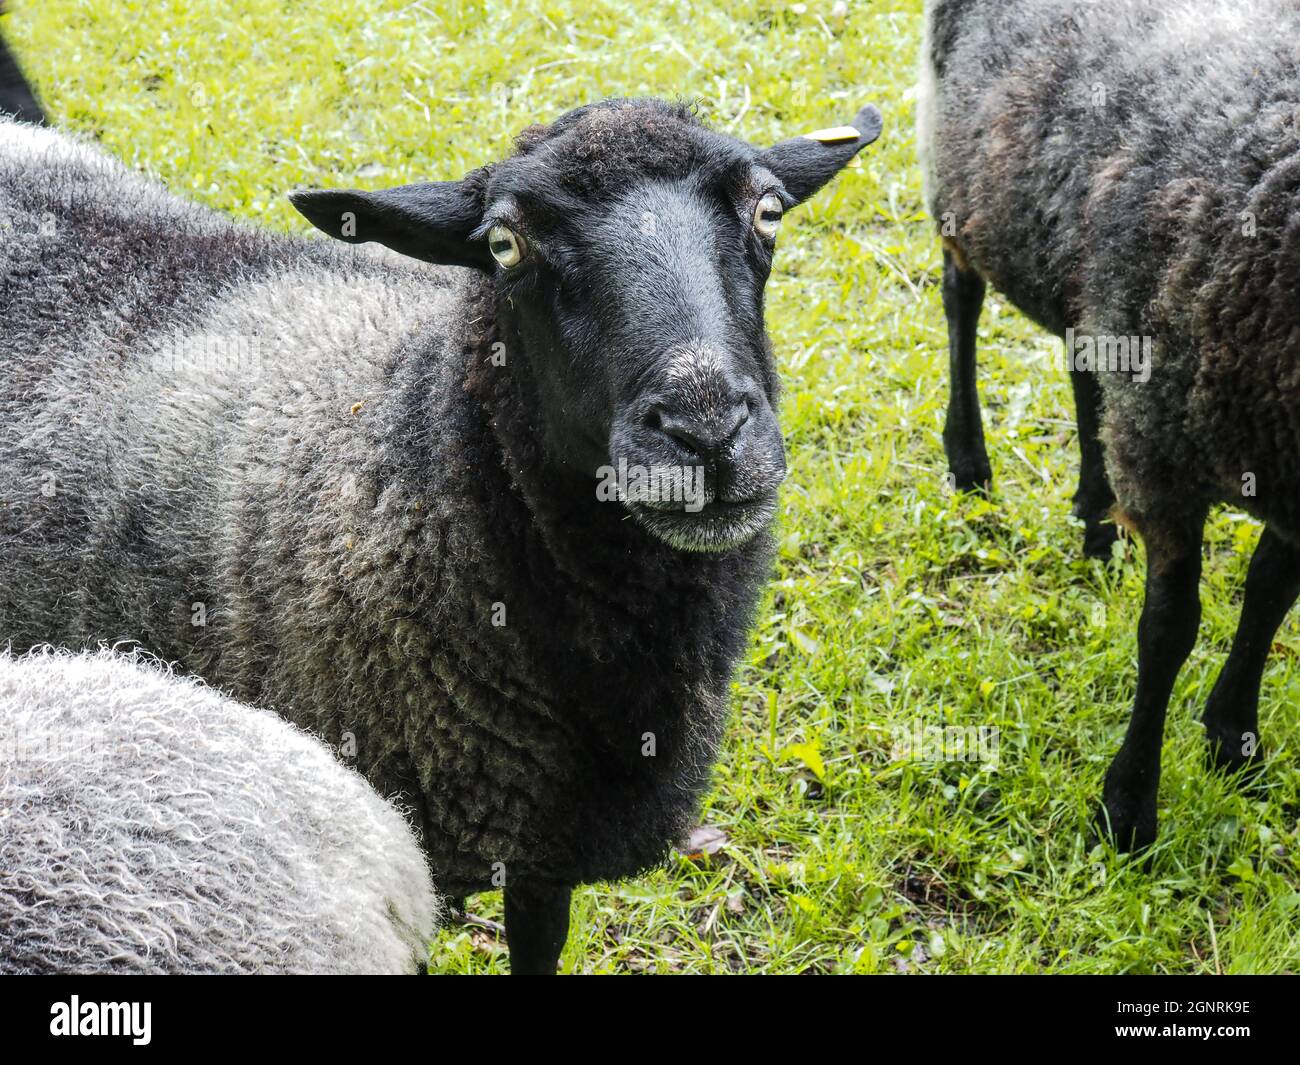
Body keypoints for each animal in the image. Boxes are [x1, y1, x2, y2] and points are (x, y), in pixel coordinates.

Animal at [920, 0, 1300, 849]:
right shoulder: (1164, 456)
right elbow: (1169, 629)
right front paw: (1128, 807)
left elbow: (1269, 593)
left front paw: (1233, 736)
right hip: (966, 176)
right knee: (962, 297)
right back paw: (970, 461)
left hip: (1086, 259)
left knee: (1082, 362)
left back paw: (1096, 513)